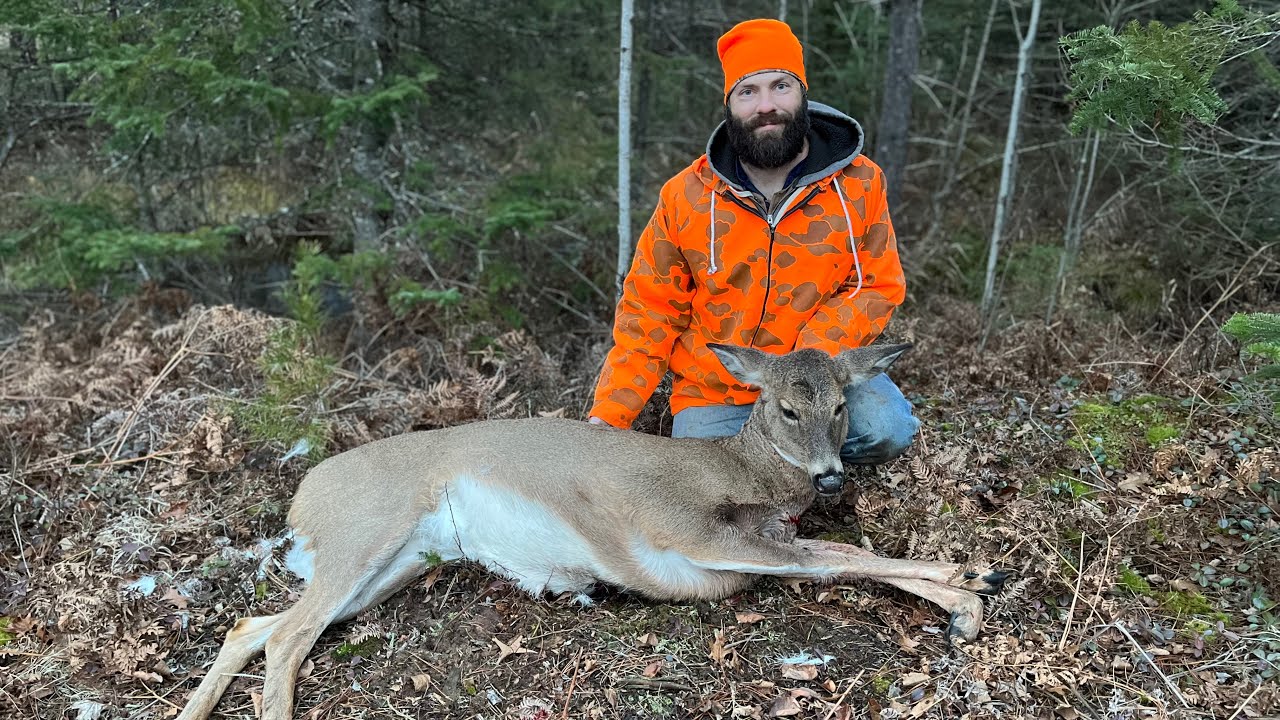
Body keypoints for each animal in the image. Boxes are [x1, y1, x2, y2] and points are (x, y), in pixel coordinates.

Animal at [175, 342, 1006, 720]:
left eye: (841, 404)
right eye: (787, 407)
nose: (831, 476)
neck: (739, 476)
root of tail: (300, 501)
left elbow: (842, 552)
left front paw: (967, 597)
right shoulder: (690, 532)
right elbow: (838, 555)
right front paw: (973, 585)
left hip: (391, 566)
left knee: (253, 626)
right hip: (364, 538)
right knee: (286, 637)